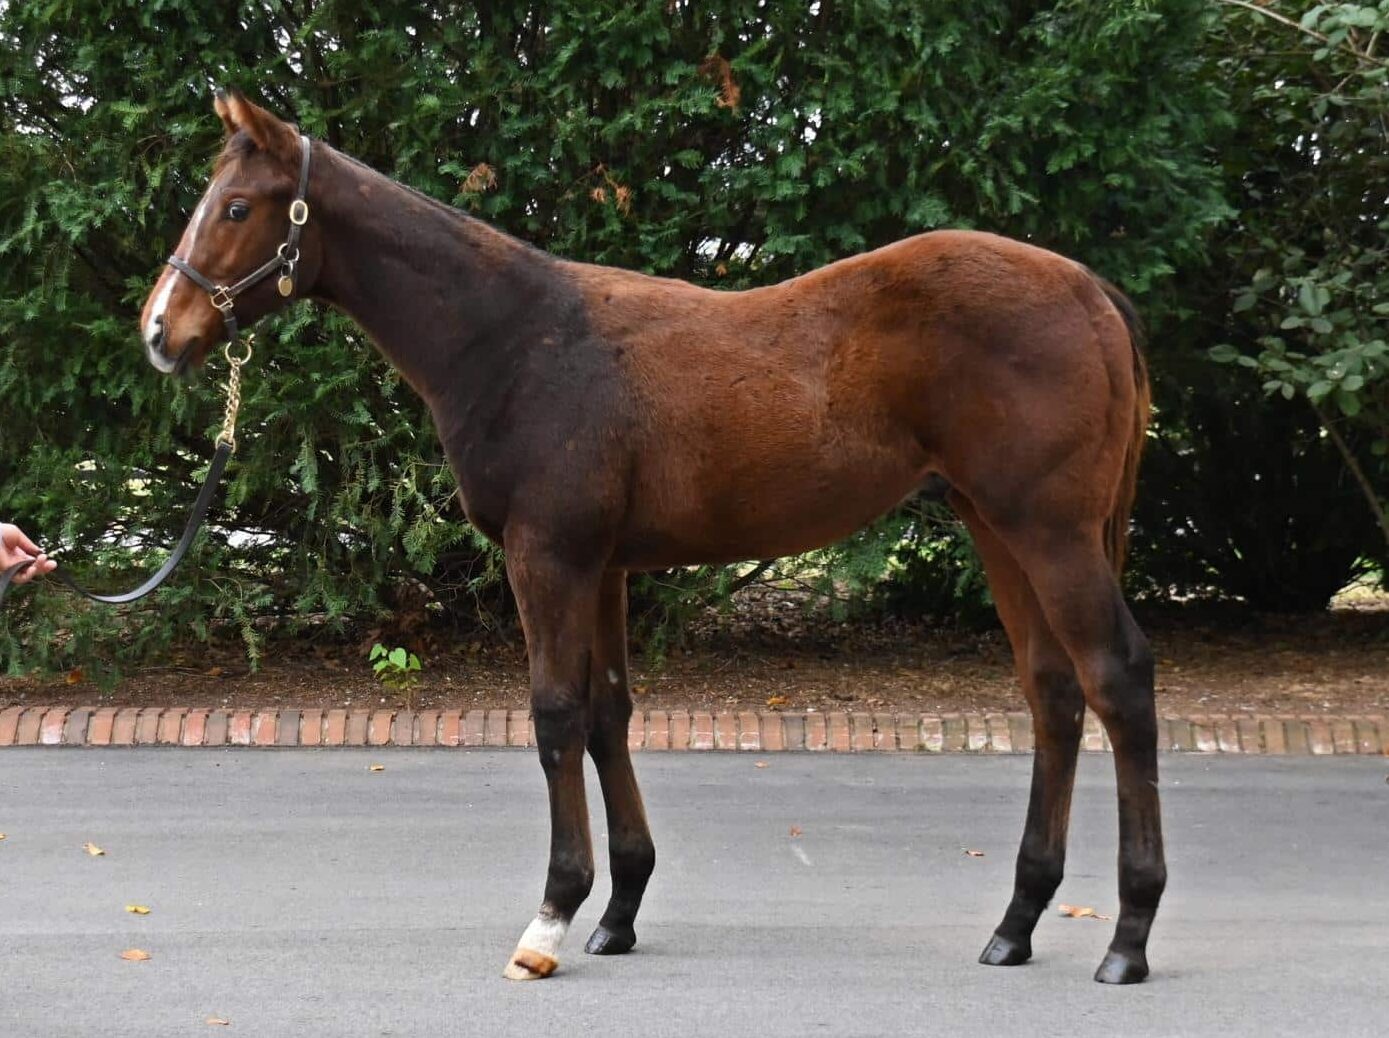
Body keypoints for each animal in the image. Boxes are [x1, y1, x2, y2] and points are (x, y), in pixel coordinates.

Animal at [139, 89, 1165, 986]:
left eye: (236, 207)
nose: (159, 333)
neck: (514, 341)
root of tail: (1089, 289)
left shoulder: (546, 555)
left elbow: (555, 715)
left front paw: (551, 917)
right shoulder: (602, 566)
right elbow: (607, 714)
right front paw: (619, 911)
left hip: (1050, 529)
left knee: (1115, 679)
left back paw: (1127, 937)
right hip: (993, 523)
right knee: (1052, 693)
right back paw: (1015, 925)